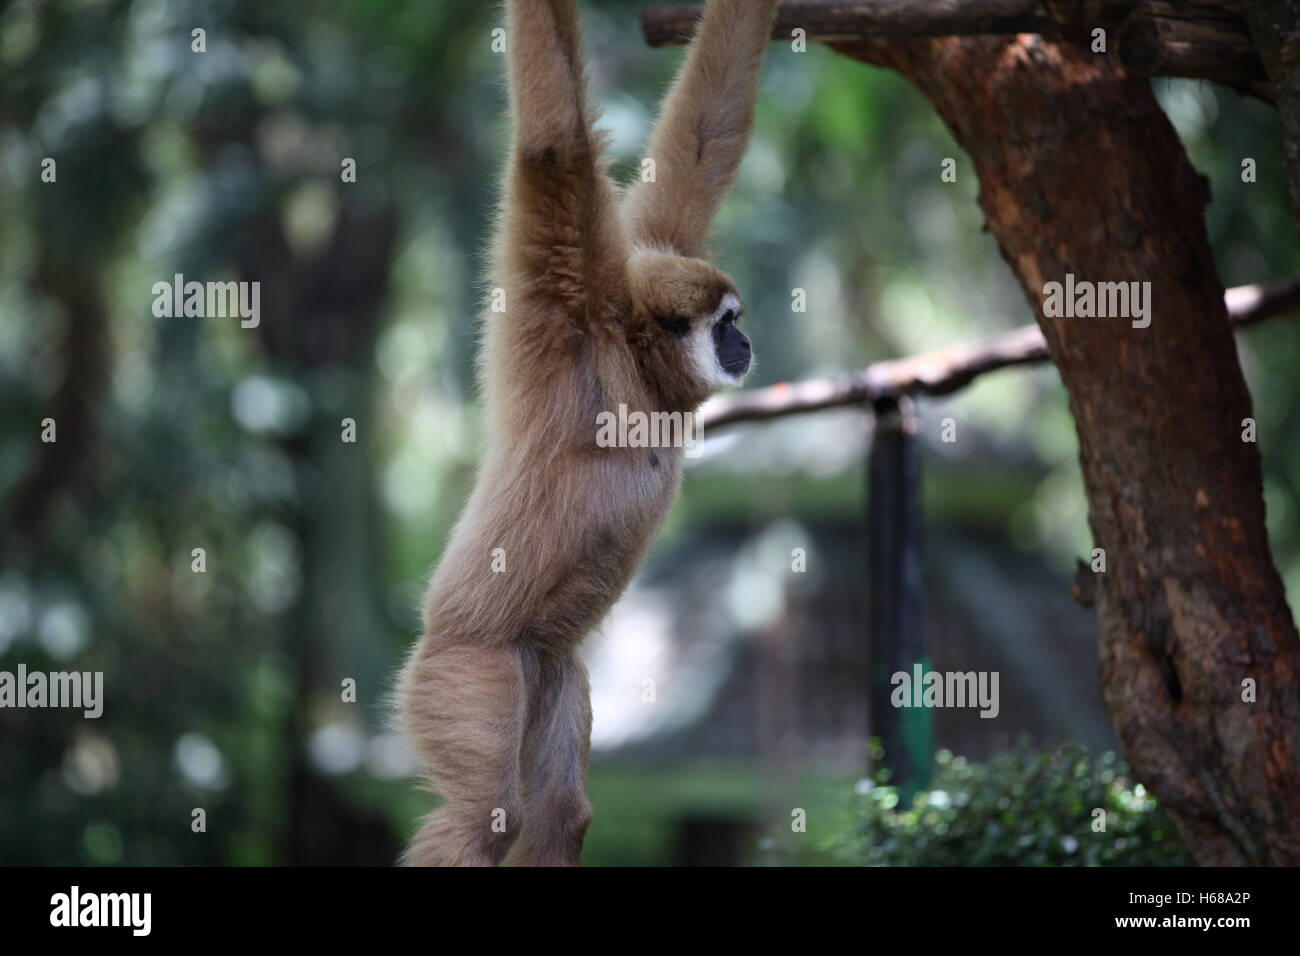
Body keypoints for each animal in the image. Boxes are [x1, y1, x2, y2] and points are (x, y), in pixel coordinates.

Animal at [395, 0, 780, 866]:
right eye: (726, 323)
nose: (746, 341)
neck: (638, 374)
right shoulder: (572, 299)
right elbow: (553, 147)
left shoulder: (642, 247)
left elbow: (702, 142)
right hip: (468, 668)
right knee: (482, 815)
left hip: (550, 673)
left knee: (559, 812)